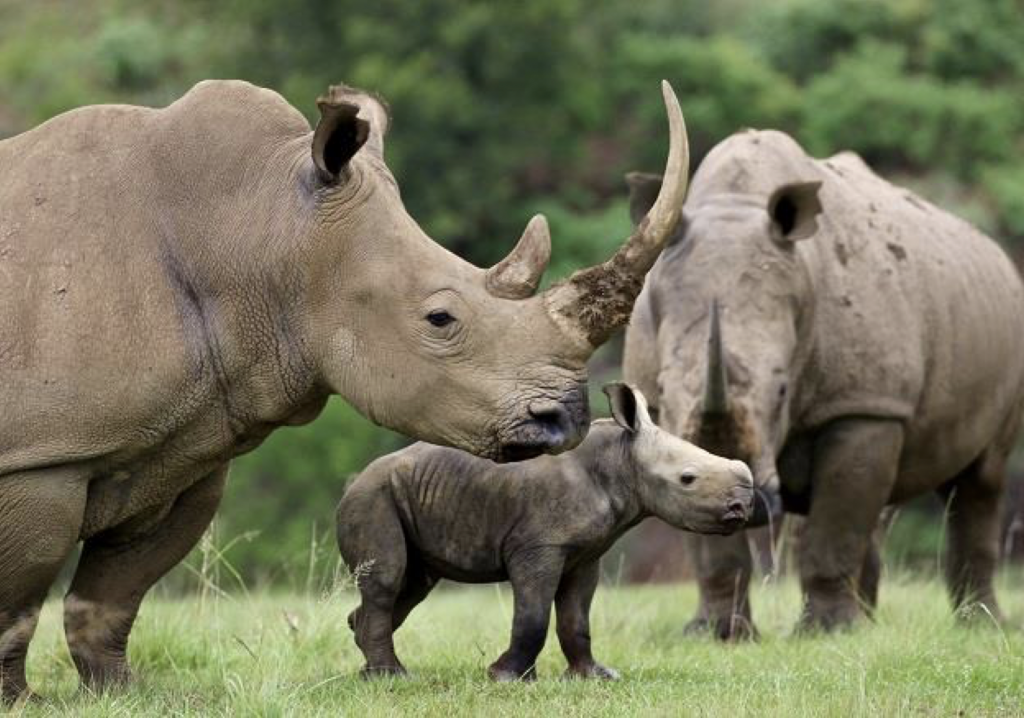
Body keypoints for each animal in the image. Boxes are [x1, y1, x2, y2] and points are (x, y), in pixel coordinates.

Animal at [0, 80, 689, 700]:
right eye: (440, 319)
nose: (564, 418)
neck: (265, 231)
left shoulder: (186, 450)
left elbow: (113, 592)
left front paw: (119, 694)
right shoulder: (40, 457)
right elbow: (18, 596)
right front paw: (22, 702)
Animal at [336, 383, 753, 680]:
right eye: (688, 479)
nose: (743, 506)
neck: (620, 459)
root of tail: (352, 484)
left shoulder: (586, 553)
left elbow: (576, 617)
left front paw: (596, 676)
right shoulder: (540, 546)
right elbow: (533, 613)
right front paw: (505, 678)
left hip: (400, 494)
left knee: (413, 584)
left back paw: (369, 669)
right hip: (372, 496)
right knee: (389, 579)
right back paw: (393, 678)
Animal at [623, 130, 1024, 638]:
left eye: (781, 390)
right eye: (664, 388)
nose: (750, 500)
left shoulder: (864, 404)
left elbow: (835, 525)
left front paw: (828, 632)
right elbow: (712, 535)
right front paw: (719, 635)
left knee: (980, 480)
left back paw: (981, 626)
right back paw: (870, 624)